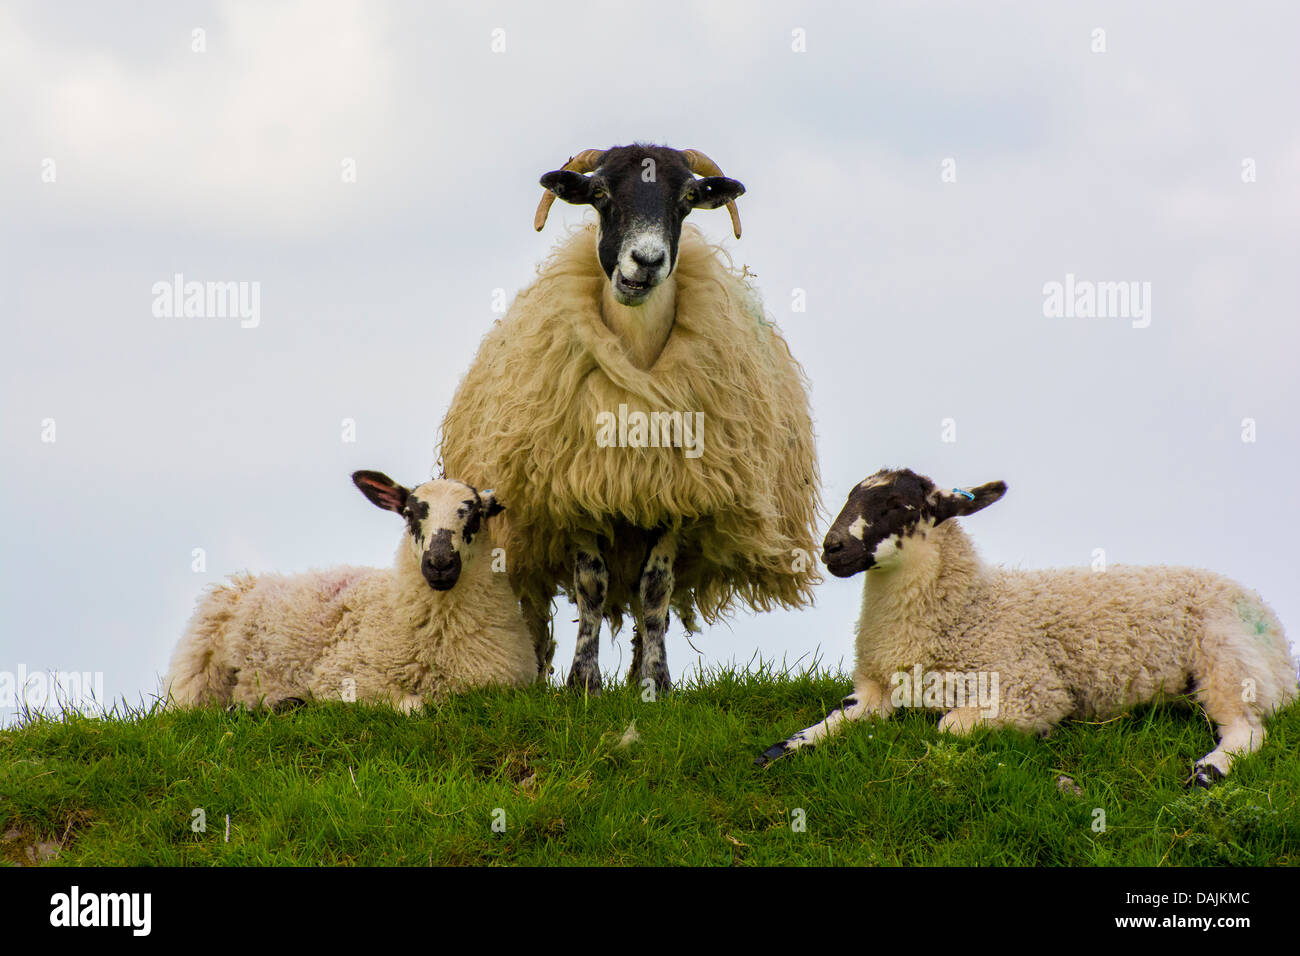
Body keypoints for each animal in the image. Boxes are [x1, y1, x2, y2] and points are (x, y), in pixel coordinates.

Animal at [163, 472, 535, 712]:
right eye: (409, 513)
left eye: (475, 515)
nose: (439, 563)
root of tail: (251, 582)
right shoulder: (346, 677)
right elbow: (414, 706)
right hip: (197, 675)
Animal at [439, 144, 821, 694]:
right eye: (599, 193)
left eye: (687, 198)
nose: (646, 261)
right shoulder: (574, 487)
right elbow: (591, 586)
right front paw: (583, 683)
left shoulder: (675, 493)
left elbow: (655, 589)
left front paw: (653, 685)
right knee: (536, 602)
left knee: (644, 600)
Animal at [756, 467, 1298, 786]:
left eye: (899, 506)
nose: (832, 550)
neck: (967, 607)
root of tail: (1274, 629)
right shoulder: (872, 688)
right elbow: (833, 718)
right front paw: (782, 748)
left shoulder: (1028, 687)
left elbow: (950, 726)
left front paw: (1039, 734)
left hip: (1227, 657)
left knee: (1248, 729)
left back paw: (1209, 770)